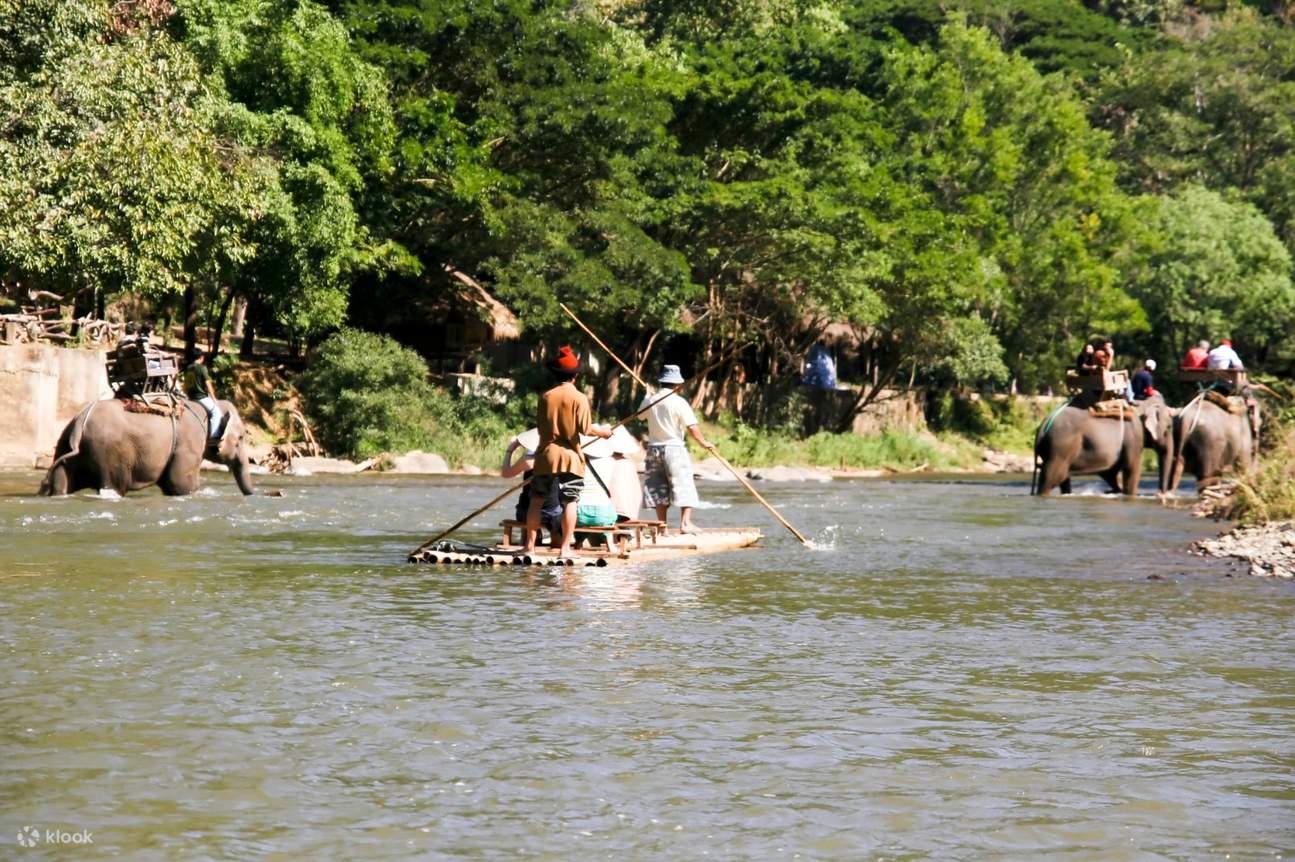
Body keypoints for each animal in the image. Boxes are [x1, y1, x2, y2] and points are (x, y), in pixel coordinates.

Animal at [39, 397, 254, 497]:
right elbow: (180, 483)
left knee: (62, 480)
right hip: (108, 451)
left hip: (66, 443)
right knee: (113, 485)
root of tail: (80, 421)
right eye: (241, 438)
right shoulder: (190, 444)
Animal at [1032, 395, 1175, 496]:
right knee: (1053, 478)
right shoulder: (1134, 437)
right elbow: (1131, 469)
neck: (1142, 404)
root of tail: (1043, 426)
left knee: (1063, 479)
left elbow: (1109, 472)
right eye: (1169, 427)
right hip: (1059, 449)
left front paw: (1115, 491)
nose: (1159, 494)